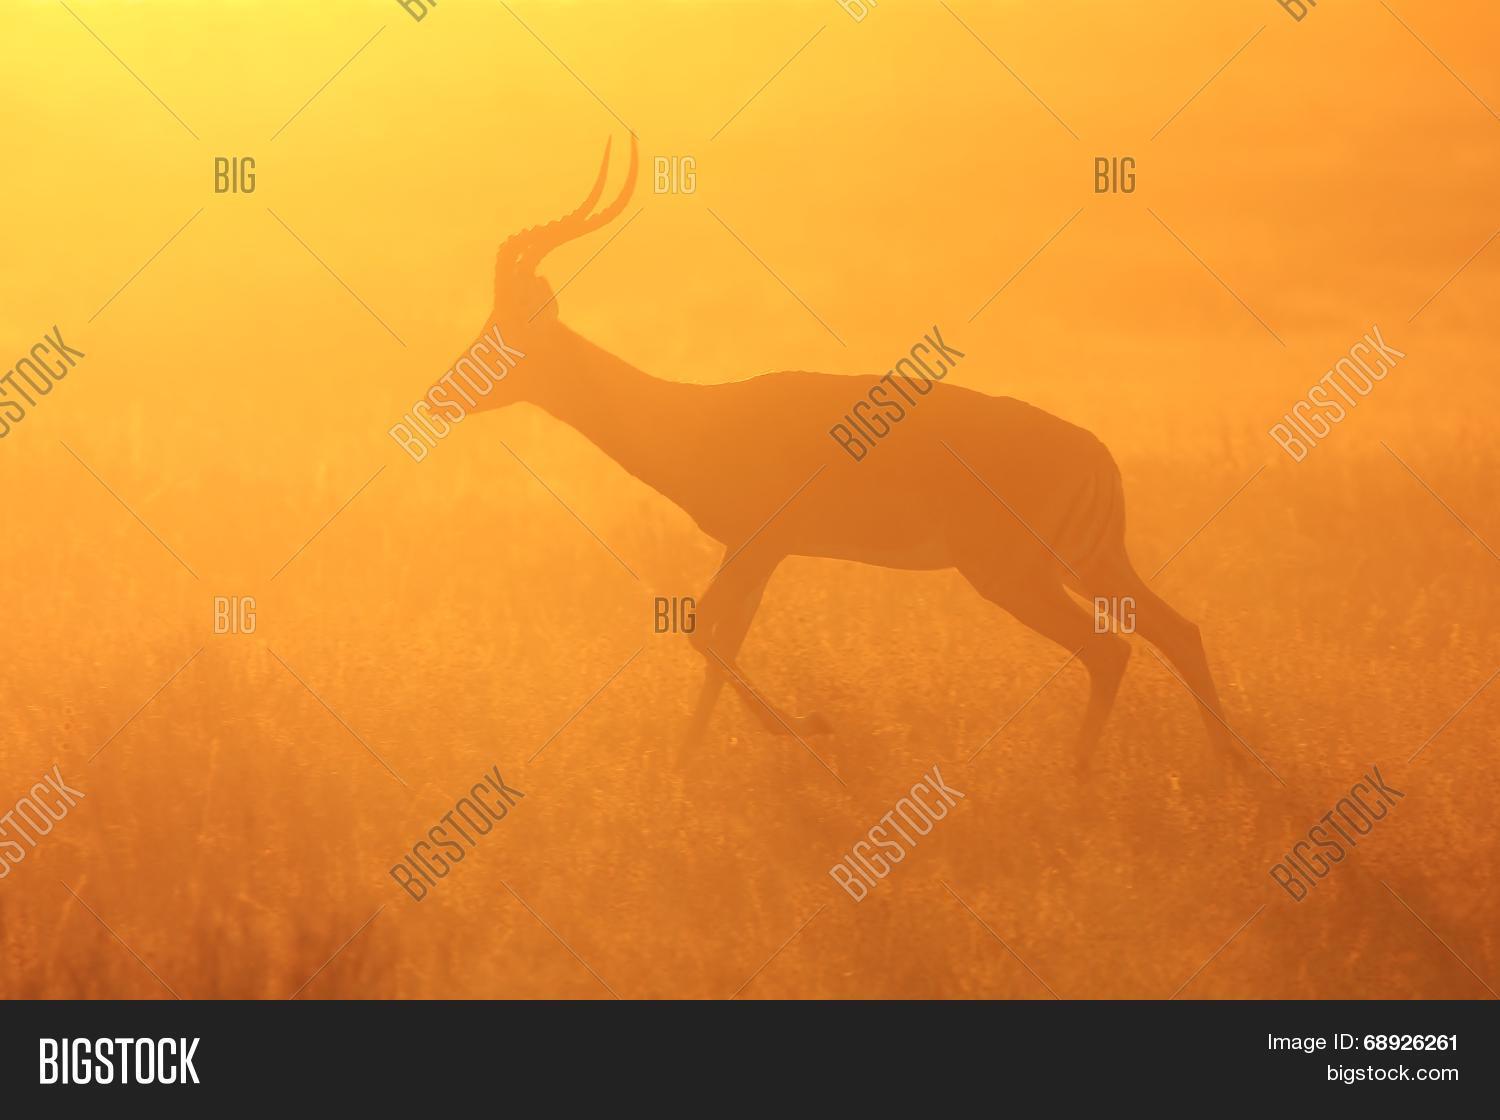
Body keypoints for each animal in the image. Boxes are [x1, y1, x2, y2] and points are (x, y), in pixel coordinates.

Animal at [434, 135, 1240, 772]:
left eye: (503, 333)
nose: (443, 398)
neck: (698, 419)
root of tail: (1097, 453)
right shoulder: (758, 551)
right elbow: (718, 642)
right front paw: (687, 768)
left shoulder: (759, 543)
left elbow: (703, 634)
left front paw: (811, 730)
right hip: (1089, 564)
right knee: (1178, 631)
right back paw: (1227, 772)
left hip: (1014, 576)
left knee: (1110, 650)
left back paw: (1076, 782)